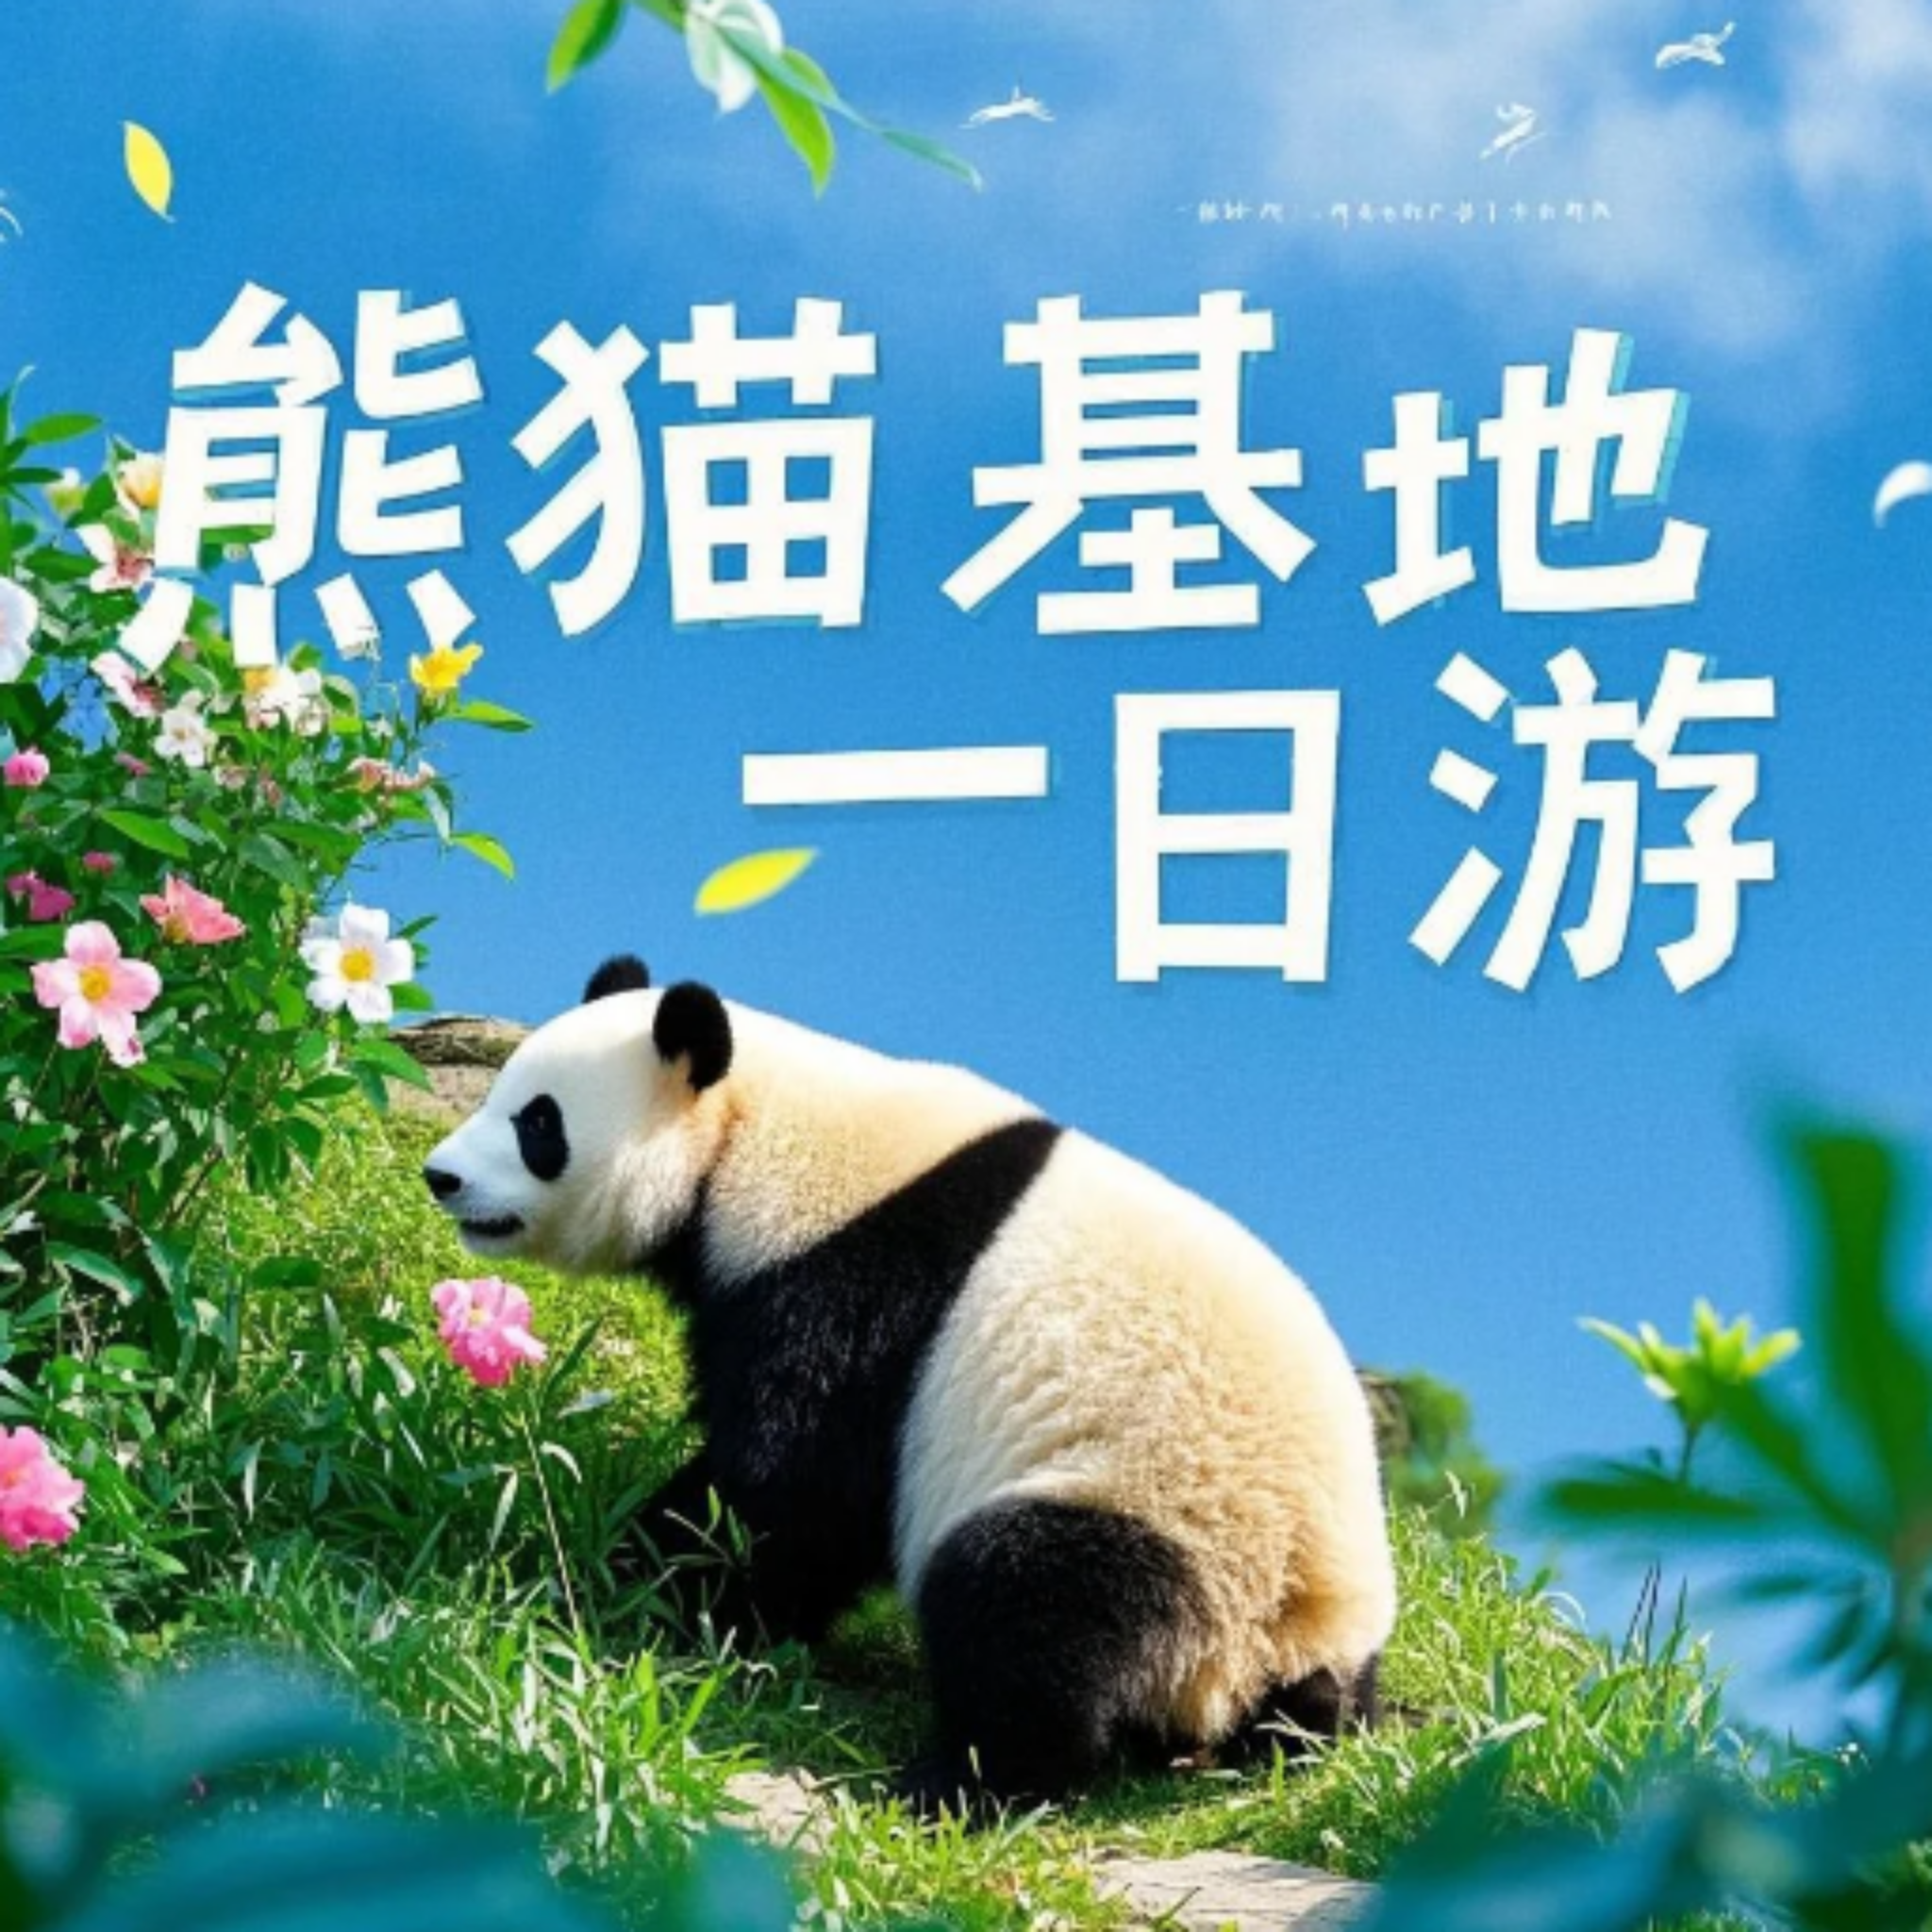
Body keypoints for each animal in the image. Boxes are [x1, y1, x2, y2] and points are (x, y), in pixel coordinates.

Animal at [422, 956, 1396, 1811]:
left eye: (537, 1124)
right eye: (504, 1094)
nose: (443, 1176)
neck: (755, 1133)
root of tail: (1284, 1652)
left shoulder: (859, 1292)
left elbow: (787, 1491)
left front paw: (626, 1581)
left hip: (1161, 1521)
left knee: (1027, 1609)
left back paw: (961, 1783)